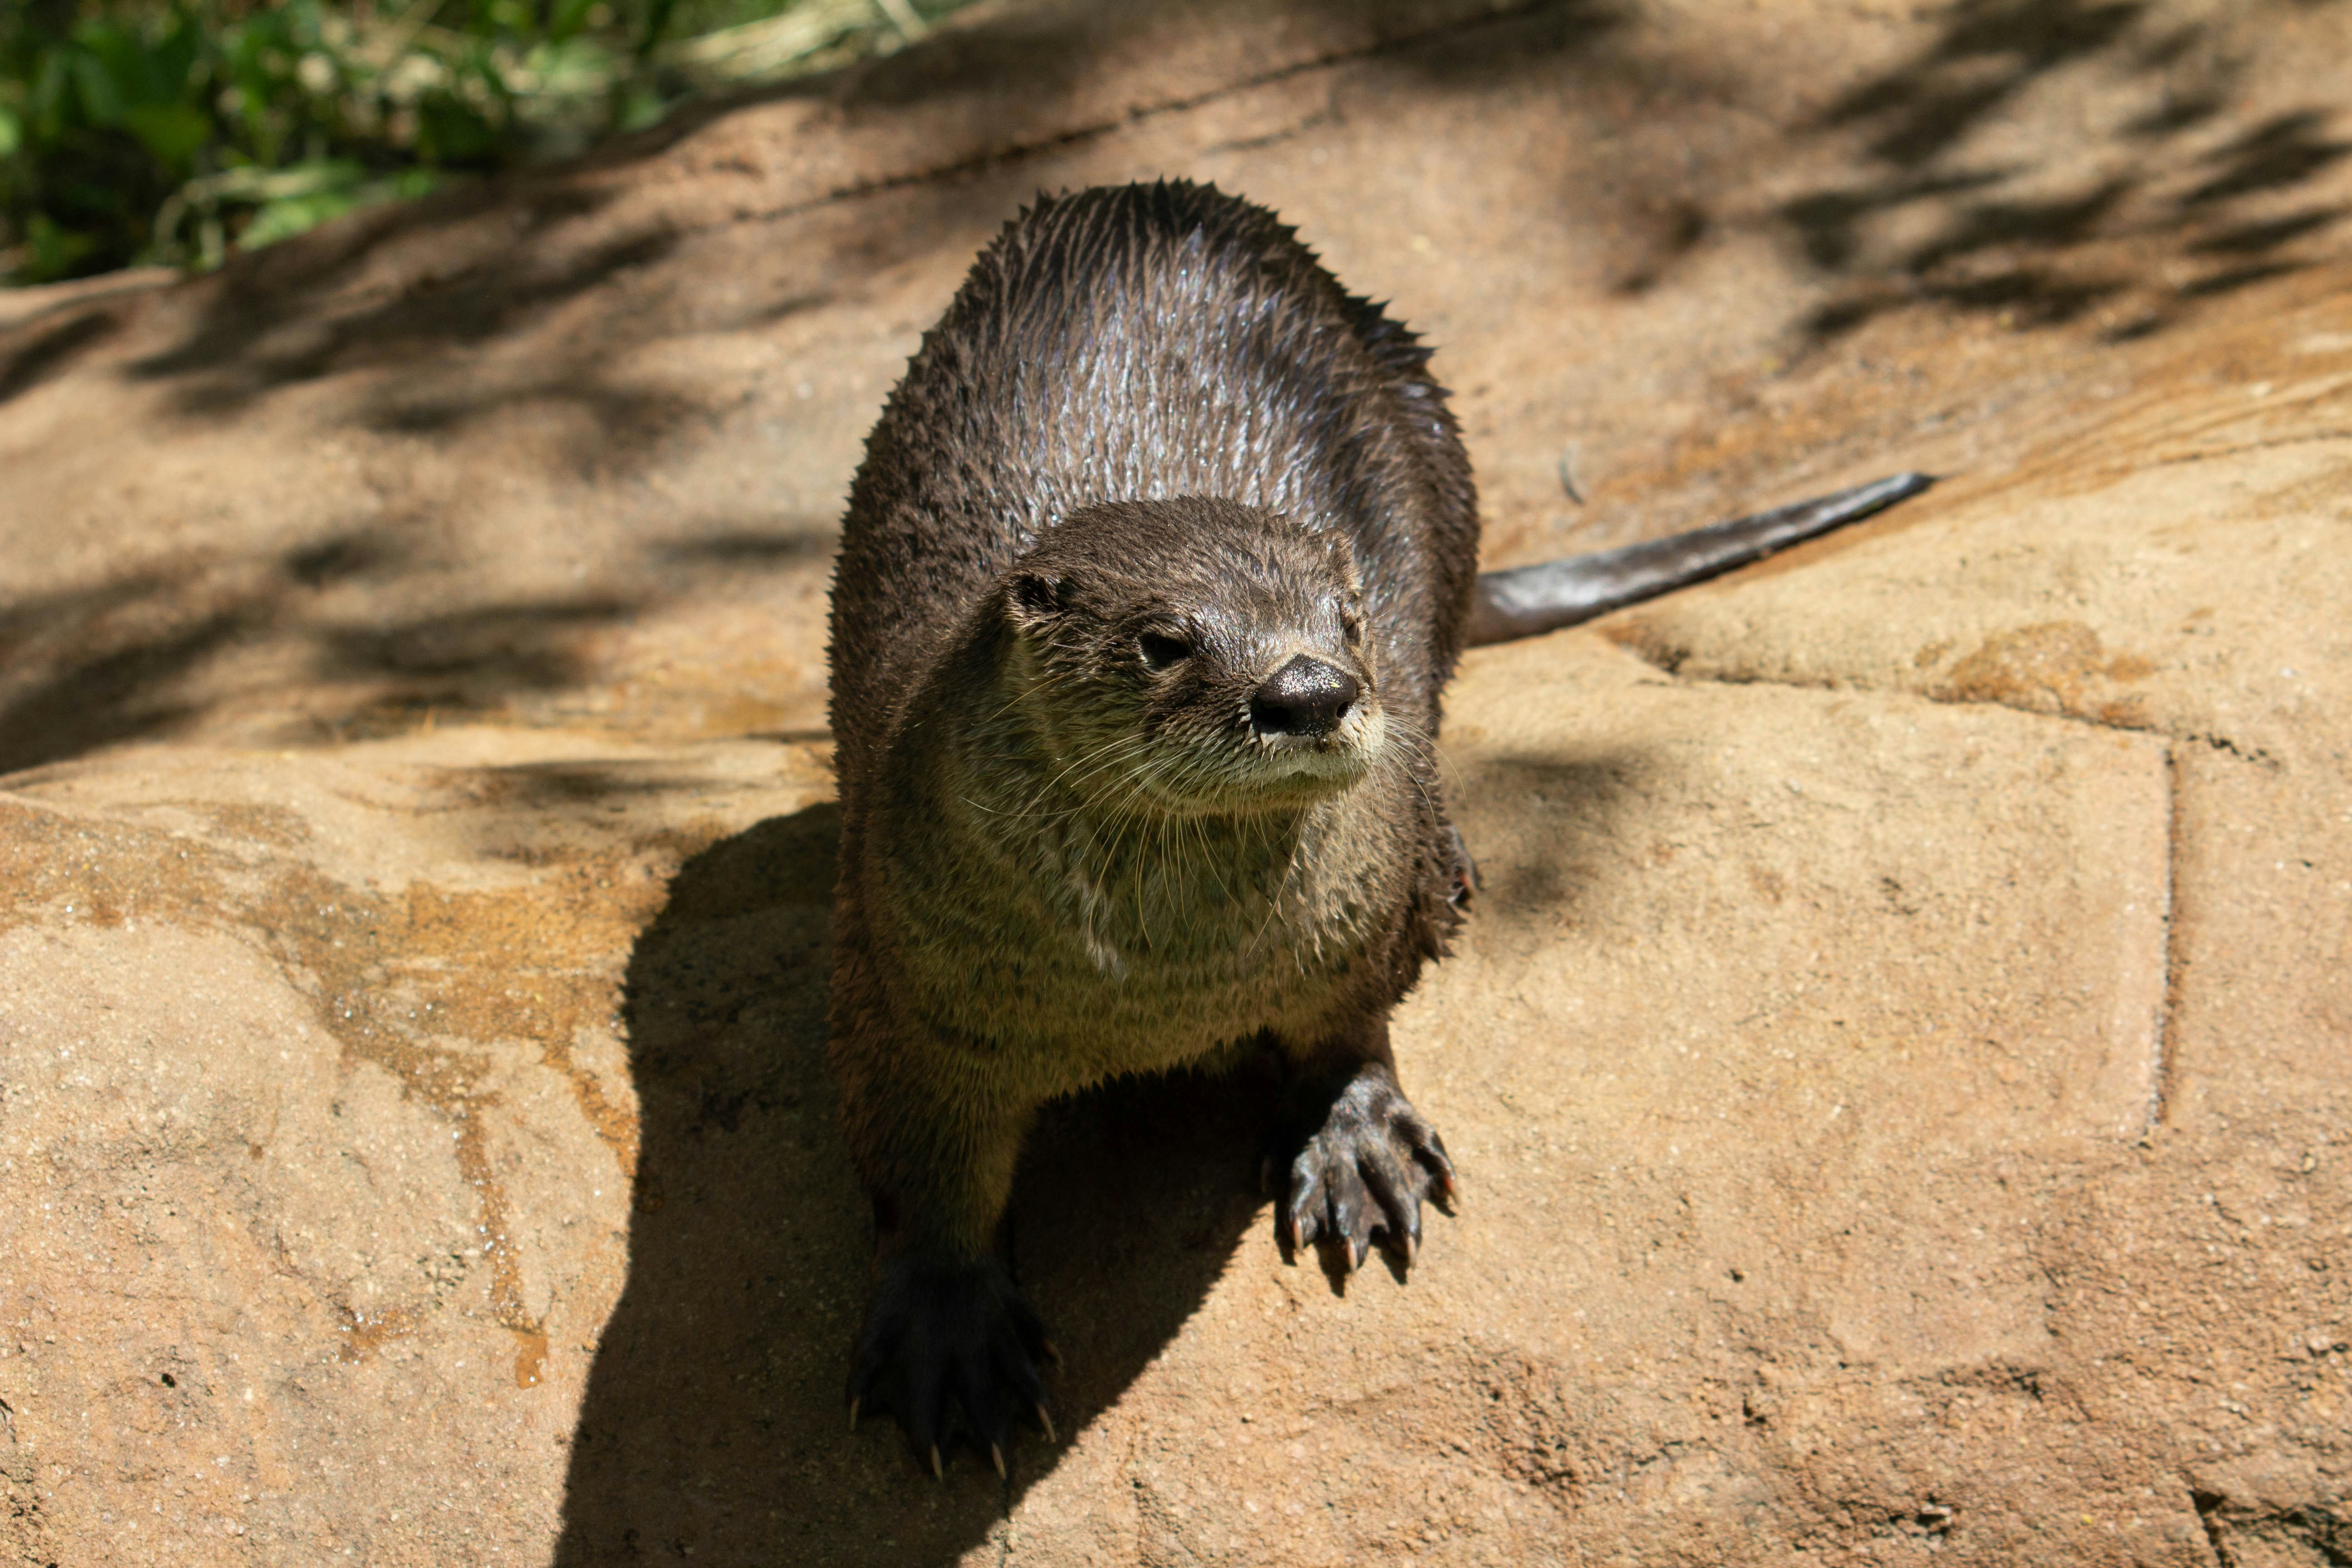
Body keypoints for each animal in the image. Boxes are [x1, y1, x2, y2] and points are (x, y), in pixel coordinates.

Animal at [826, 180, 1926, 1476]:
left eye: (1344, 618)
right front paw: (950, 1330)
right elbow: (922, 1161)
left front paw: (1352, 1135)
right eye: (1162, 639)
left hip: (1425, 425)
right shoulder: (898, 975)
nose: (1308, 687)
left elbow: (1351, 1023)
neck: (1160, 991)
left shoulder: (1359, 918)